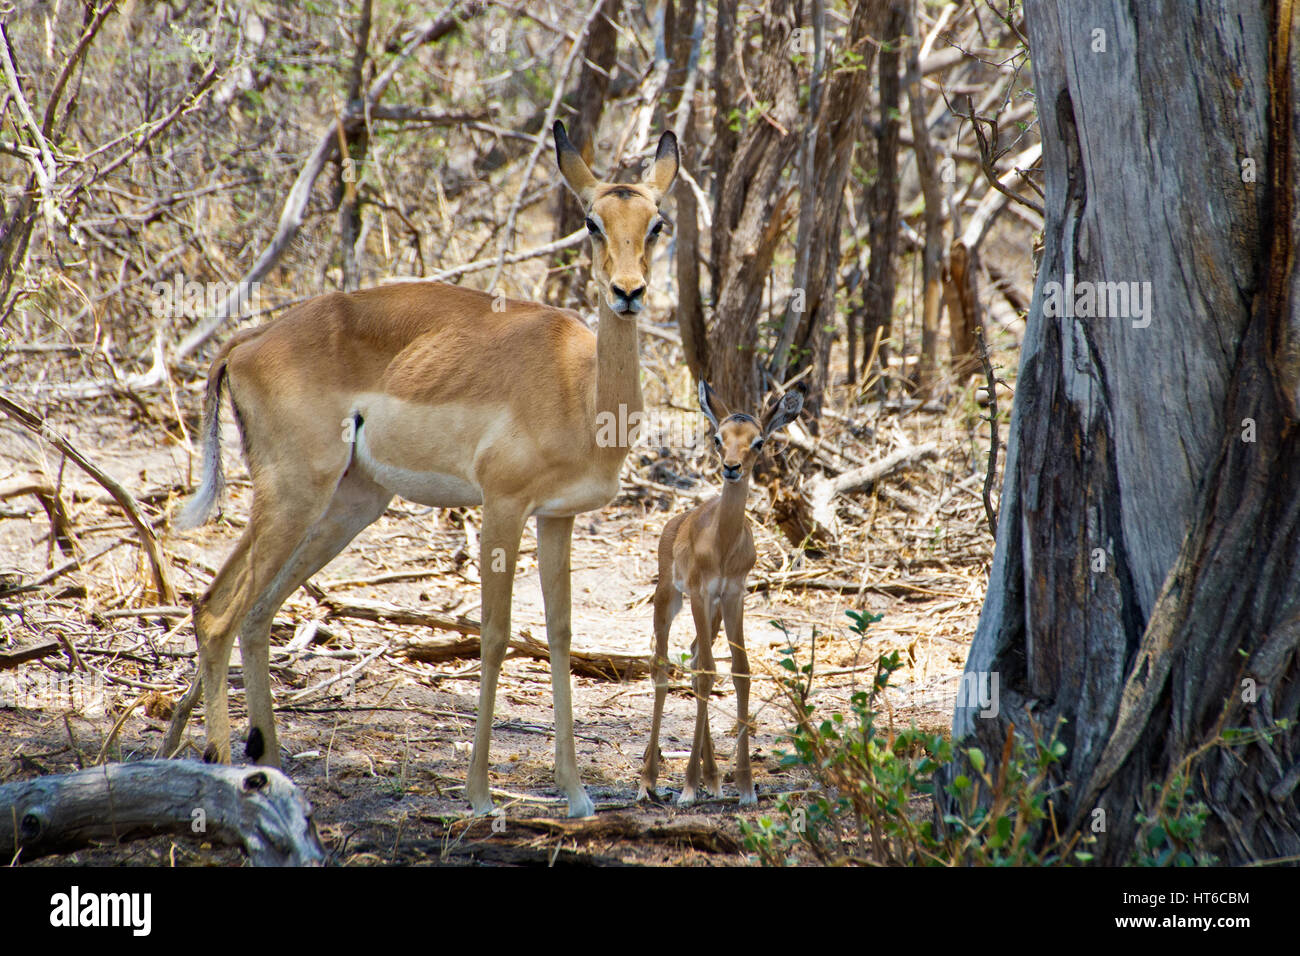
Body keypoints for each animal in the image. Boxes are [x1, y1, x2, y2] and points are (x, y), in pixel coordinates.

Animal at [158, 121, 678, 819]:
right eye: (592, 222)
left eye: (657, 222)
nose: (627, 293)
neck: (580, 383)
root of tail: (247, 343)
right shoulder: (502, 507)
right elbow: (495, 633)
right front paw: (481, 796)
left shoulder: (557, 518)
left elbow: (562, 635)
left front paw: (574, 794)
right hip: (296, 496)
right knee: (218, 613)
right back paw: (223, 770)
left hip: (347, 506)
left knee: (256, 612)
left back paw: (266, 764)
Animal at [638, 381, 804, 806]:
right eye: (718, 437)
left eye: (758, 441)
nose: (731, 467)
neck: (723, 542)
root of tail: (676, 522)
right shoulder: (700, 593)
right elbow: (707, 674)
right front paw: (687, 788)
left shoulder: (733, 596)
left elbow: (738, 671)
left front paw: (744, 786)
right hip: (670, 599)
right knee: (662, 664)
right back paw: (649, 781)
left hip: (710, 613)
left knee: (697, 655)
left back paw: (712, 778)